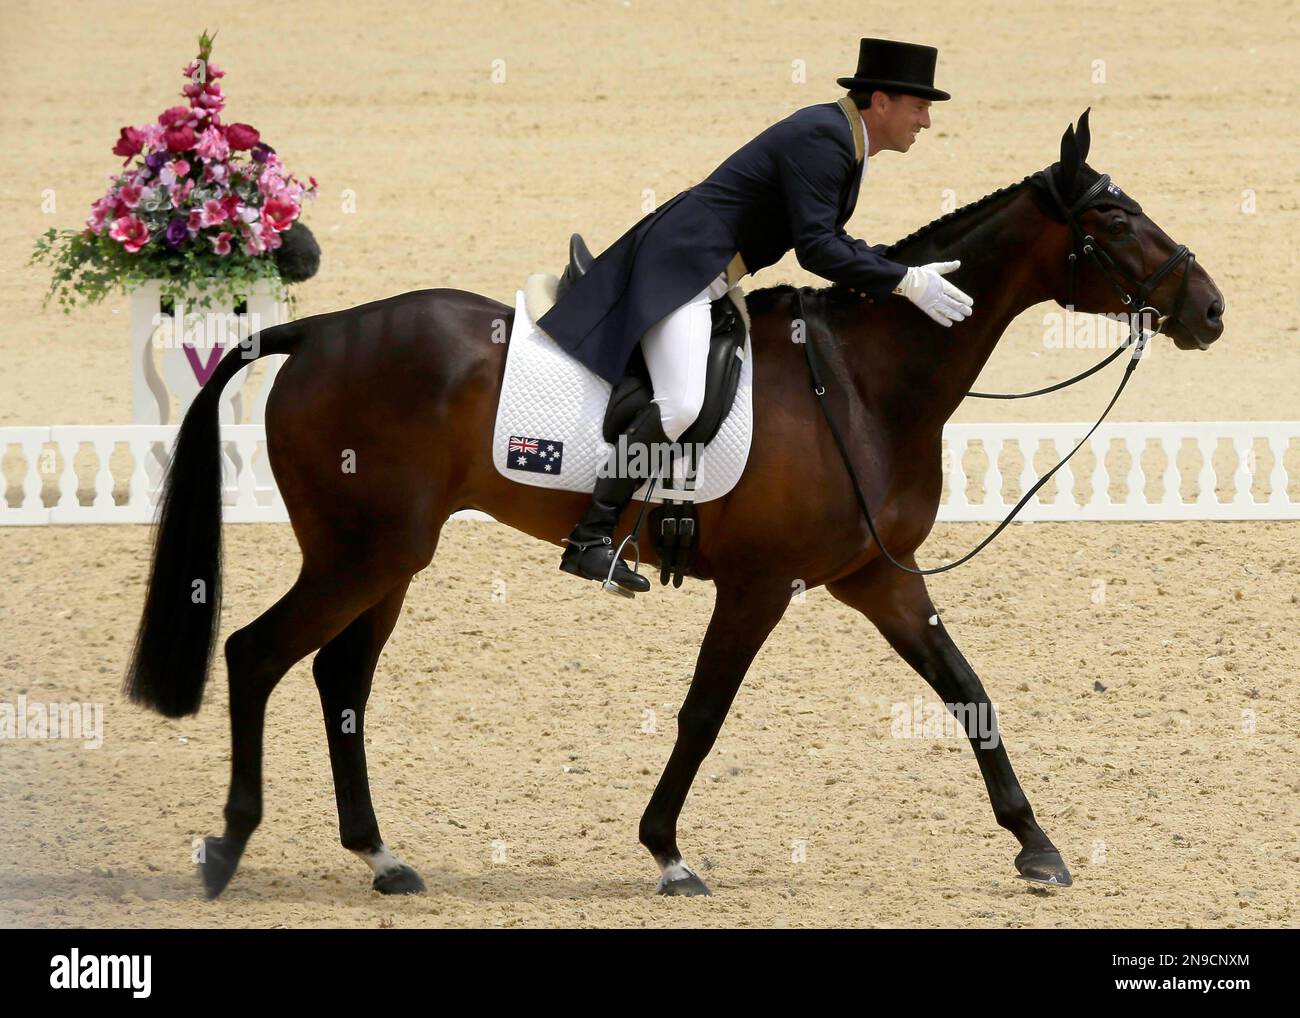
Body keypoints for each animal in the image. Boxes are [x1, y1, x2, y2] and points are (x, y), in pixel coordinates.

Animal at [124, 111, 1224, 899]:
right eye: (1114, 220)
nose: (1210, 309)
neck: (868, 381)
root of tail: (317, 332)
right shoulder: (761, 584)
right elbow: (703, 711)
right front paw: (667, 852)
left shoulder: (877, 577)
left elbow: (967, 689)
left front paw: (1037, 847)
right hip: (361, 554)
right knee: (256, 655)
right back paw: (227, 848)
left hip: (389, 558)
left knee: (339, 678)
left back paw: (383, 858)